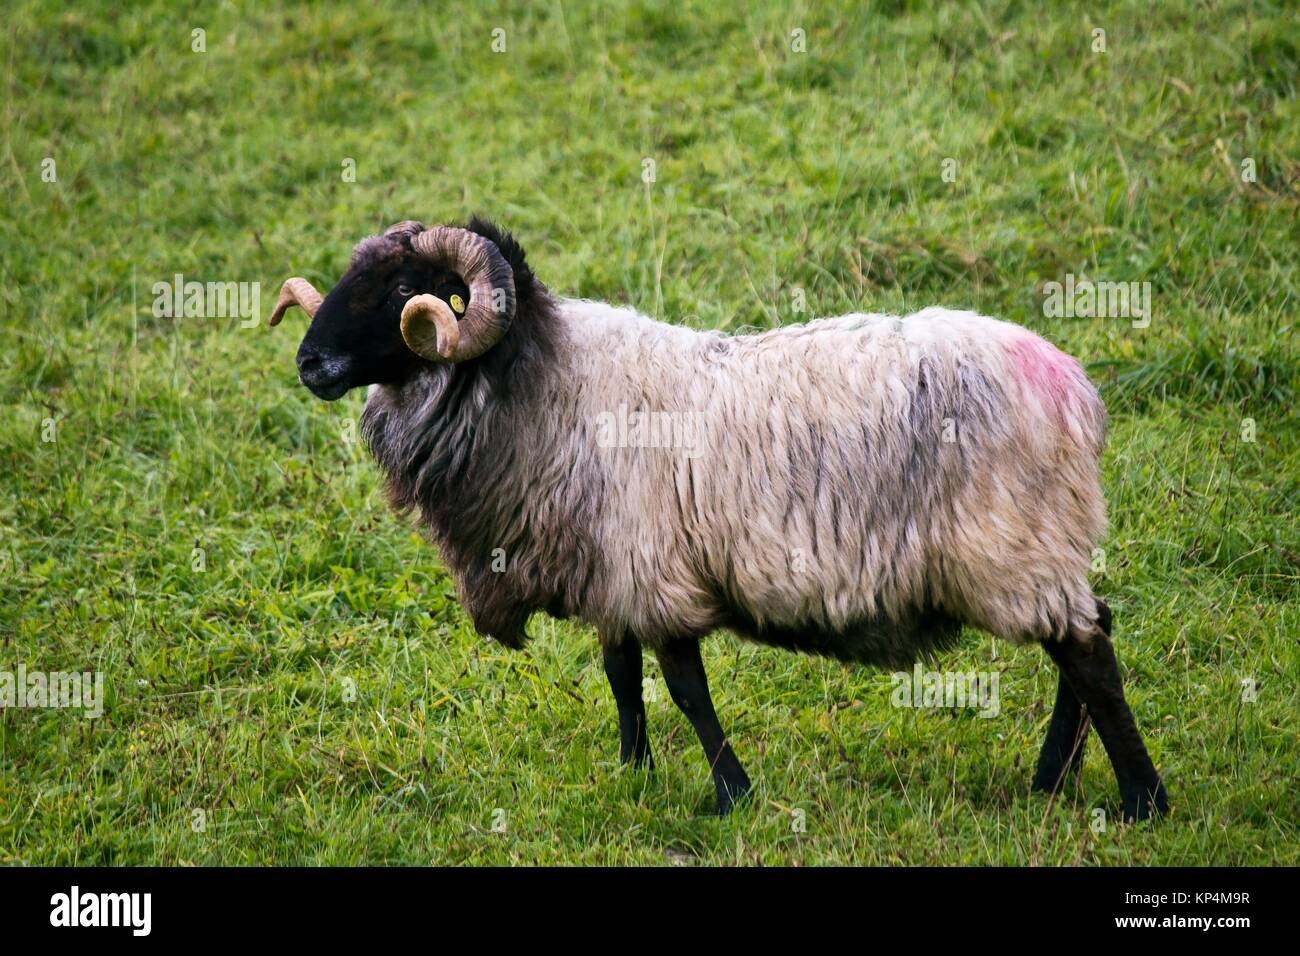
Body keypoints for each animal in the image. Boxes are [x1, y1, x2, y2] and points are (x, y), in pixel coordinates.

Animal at [270, 217, 1169, 821]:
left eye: (398, 291)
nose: (309, 363)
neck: (540, 382)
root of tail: (1073, 387)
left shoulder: (656, 571)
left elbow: (685, 688)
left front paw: (731, 793)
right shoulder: (616, 574)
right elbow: (622, 678)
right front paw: (633, 776)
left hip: (1013, 546)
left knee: (1089, 652)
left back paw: (1141, 799)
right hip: (1036, 549)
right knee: (1084, 639)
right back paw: (1050, 780)